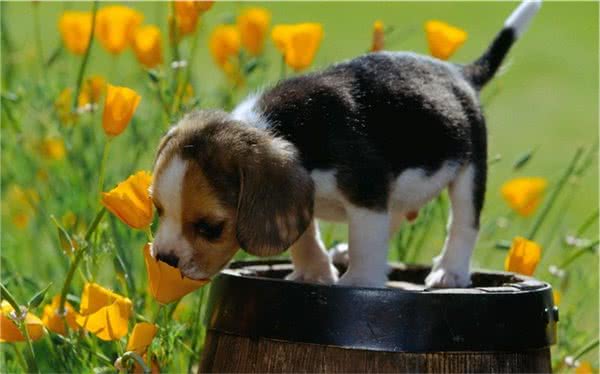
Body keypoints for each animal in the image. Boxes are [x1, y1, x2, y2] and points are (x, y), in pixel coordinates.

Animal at [151, 0, 544, 288]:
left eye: (211, 228)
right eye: (157, 209)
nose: (164, 260)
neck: (277, 129)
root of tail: (460, 74)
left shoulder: (366, 192)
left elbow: (366, 242)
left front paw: (359, 281)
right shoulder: (304, 196)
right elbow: (304, 234)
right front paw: (313, 271)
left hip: (470, 168)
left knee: (463, 222)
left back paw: (450, 272)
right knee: (396, 214)